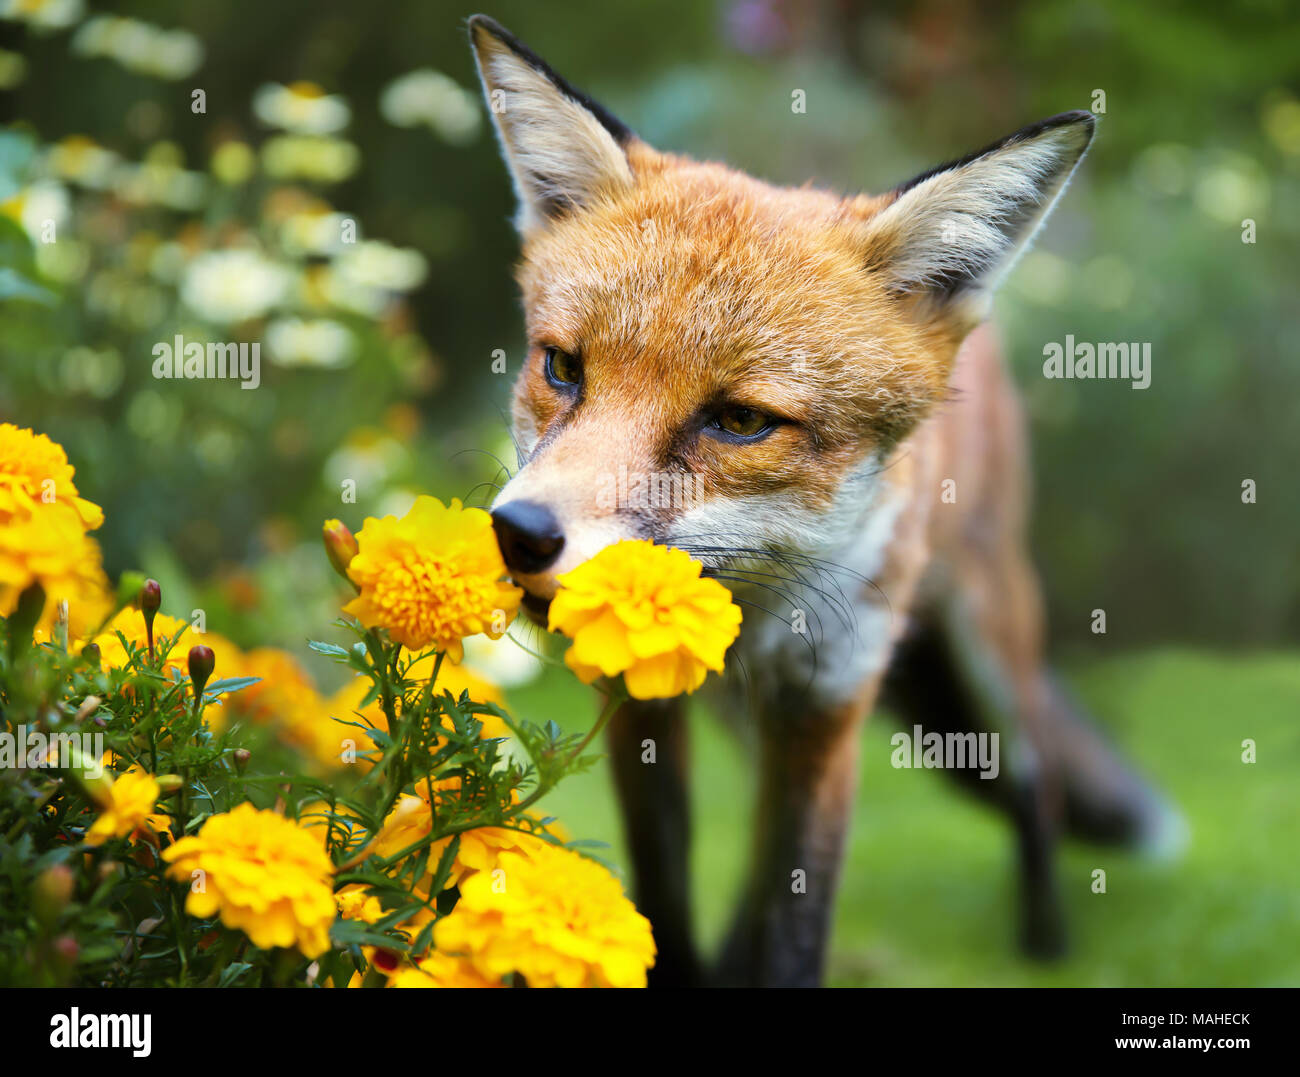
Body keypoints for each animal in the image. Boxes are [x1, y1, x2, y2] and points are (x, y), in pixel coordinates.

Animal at [466, 15, 1179, 987]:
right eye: (563, 368)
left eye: (739, 420)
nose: (519, 534)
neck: (753, 623)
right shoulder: (645, 709)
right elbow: (667, 901)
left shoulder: (829, 704)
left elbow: (796, 921)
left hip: (990, 637)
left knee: (1038, 777)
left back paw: (1045, 942)